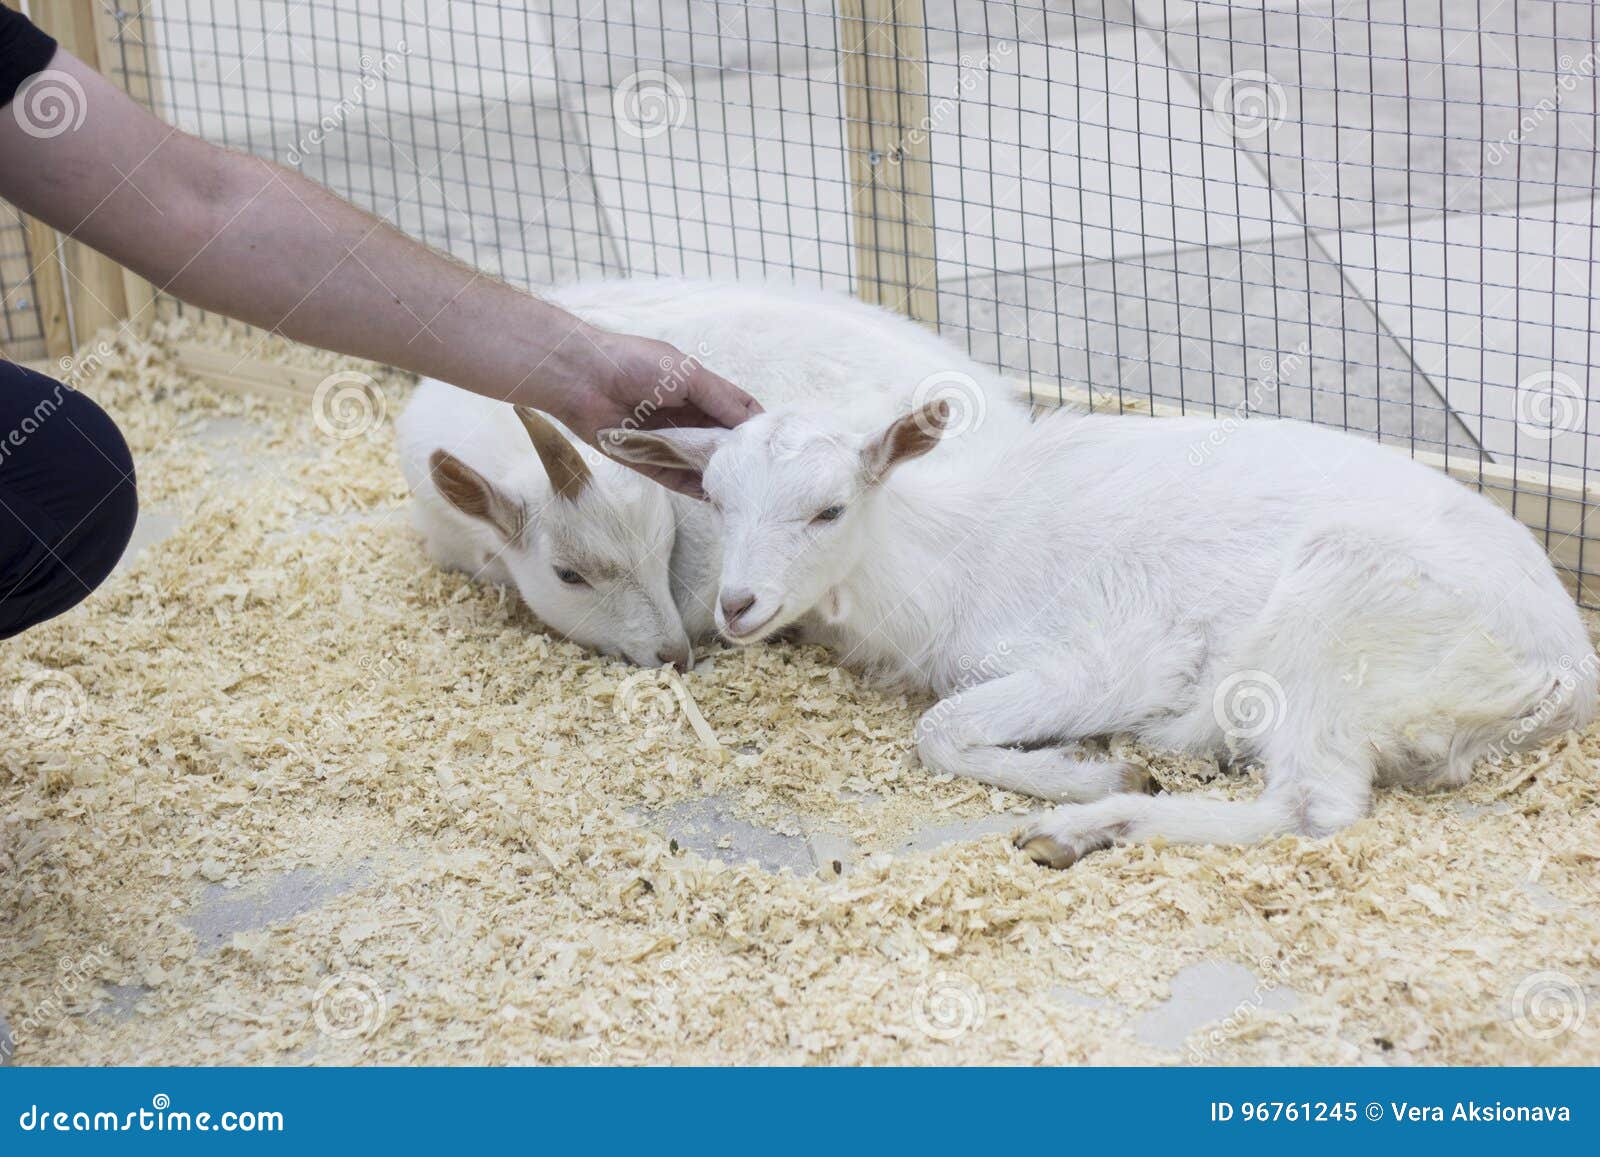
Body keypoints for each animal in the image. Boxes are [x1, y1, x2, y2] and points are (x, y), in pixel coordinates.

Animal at [600, 400, 1597, 866]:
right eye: (714, 499)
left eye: (829, 508)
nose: (737, 606)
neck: (949, 552)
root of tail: (1563, 672)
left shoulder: (1110, 660)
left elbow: (938, 729)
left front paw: (1095, 768)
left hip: (1330, 630)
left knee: (1312, 807)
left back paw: (1090, 816)